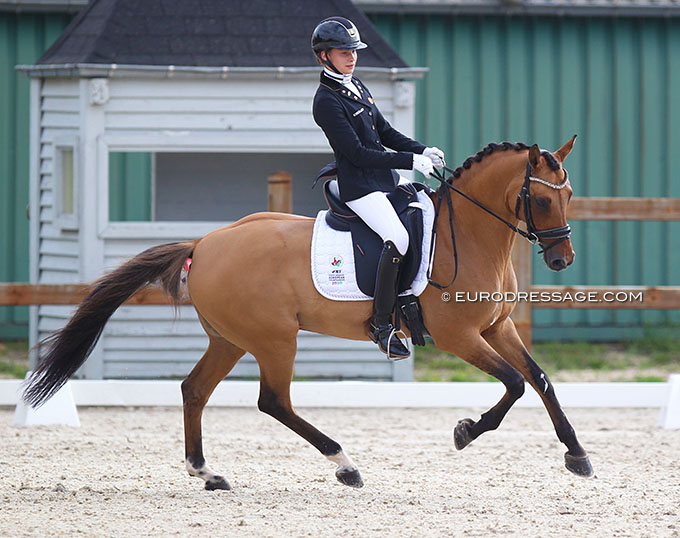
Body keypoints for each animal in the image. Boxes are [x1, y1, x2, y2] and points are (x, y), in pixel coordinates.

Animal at [23, 137, 593, 491]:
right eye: (544, 201)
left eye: (569, 194)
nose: (563, 259)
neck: (470, 236)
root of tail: (205, 243)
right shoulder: (460, 337)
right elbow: (514, 385)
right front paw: (465, 431)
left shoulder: (496, 327)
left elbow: (540, 380)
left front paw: (577, 456)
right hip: (275, 339)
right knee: (273, 401)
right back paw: (345, 466)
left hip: (230, 339)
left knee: (194, 390)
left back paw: (208, 473)